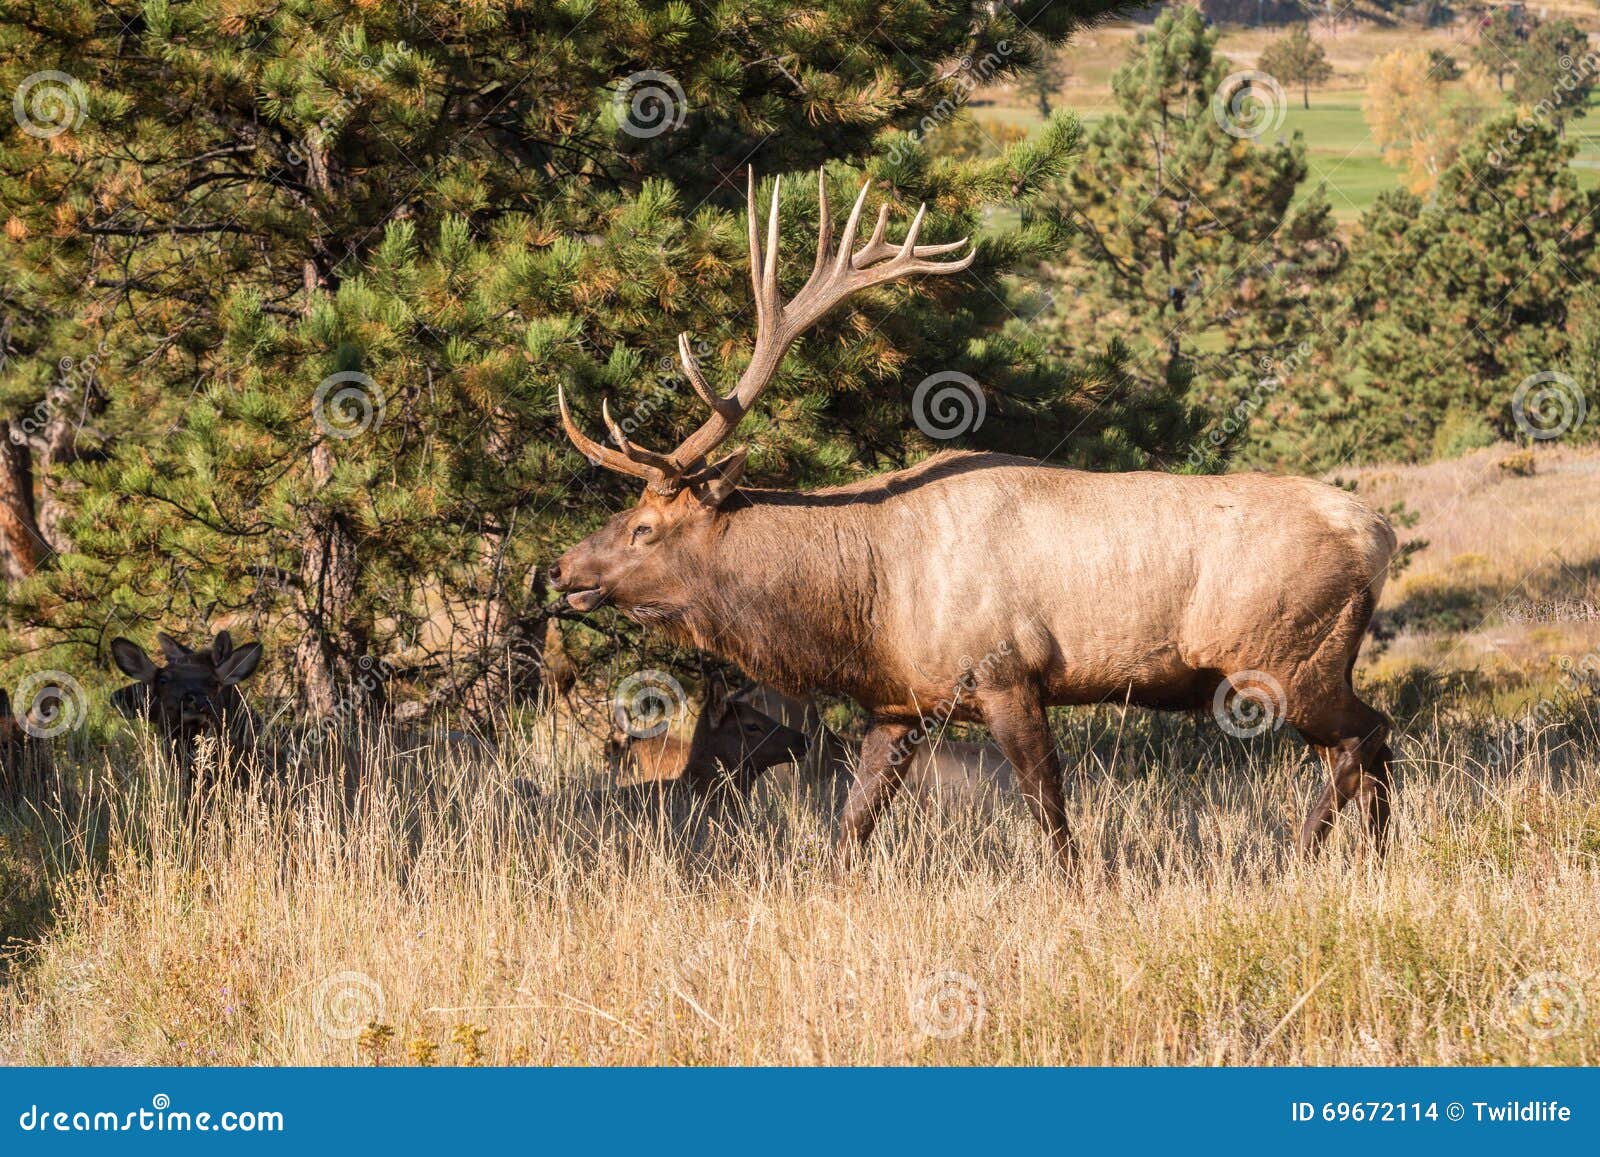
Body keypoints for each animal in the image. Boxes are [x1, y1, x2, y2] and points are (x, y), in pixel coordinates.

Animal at [548, 169, 1398, 872]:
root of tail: (1380, 533)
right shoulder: (900, 702)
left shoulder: (1006, 669)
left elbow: (1049, 809)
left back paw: (1300, 850)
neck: (866, 603)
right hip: (1314, 661)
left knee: (1365, 736)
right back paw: (1376, 857)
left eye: (644, 529)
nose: (561, 569)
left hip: (1289, 657)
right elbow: (852, 825)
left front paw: (1078, 888)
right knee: (1371, 744)